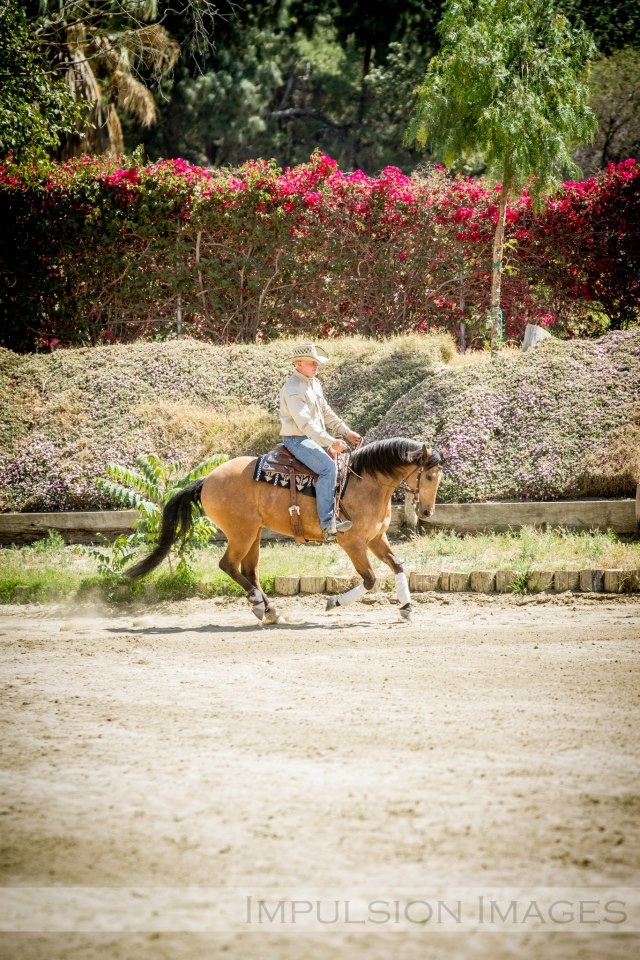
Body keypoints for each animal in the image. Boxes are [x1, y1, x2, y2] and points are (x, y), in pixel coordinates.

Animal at [126, 437, 443, 623]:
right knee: (229, 565)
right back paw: (258, 604)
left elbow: (398, 566)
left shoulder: (376, 538)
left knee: (249, 570)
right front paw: (333, 602)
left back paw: (268, 610)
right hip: (241, 533)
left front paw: (406, 608)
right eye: (429, 475)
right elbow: (370, 580)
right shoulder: (352, 542)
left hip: (253, 534)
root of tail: (207, 479)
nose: (427, 512)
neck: (364, 482)